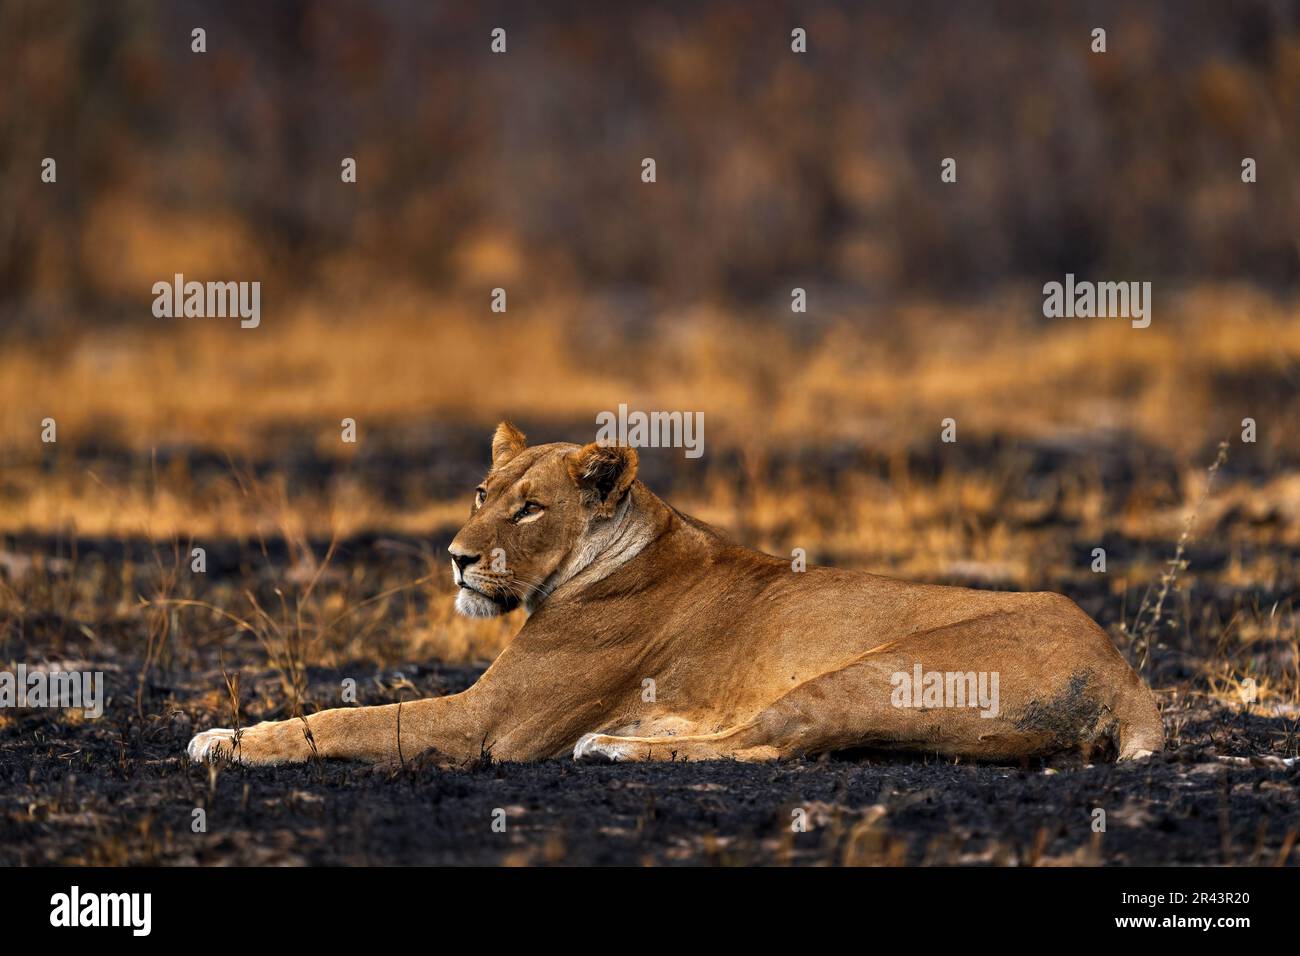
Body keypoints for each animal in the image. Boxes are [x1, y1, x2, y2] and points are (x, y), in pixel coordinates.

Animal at [188, 422, 1164, 766]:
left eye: (529, 506)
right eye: (480, 491)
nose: (457, 558)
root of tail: (1126, 670)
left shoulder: (492, 726)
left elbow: (346, 720)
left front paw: (226, 740)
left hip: (877, 673)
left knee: (776, 744)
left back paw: (614, 749)